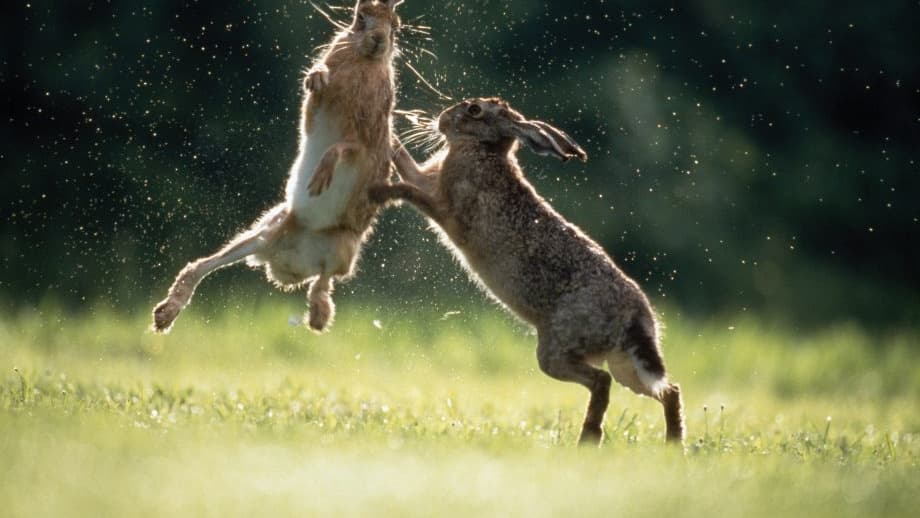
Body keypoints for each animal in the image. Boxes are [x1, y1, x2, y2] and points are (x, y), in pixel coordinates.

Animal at [152, 0, 405, 334]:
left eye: (395, 26)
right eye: (359, 17)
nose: (378, 40)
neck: (365, 61)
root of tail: (288, 267)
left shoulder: (366, 141)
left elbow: (340, 148)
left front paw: (320, 178)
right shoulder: (315, 115)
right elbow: (315, 110)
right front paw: (316, 76)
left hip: (343, 248)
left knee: (324, 280)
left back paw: (318, 316)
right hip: (267, 231)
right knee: (204, 265)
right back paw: (167, 312)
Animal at [369, 98, 685, 445]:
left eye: (475, 110)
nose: (443, 119)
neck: (484, 150)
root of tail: (634, 317)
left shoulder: (447, 209)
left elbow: (411, 192)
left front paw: (380, 192)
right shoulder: (427, 178)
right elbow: (406, 165)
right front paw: (389, 137)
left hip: (555, 351)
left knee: (602, 382)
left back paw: (588, 440)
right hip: (626, 364)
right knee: (668, 390)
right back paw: (674, 443)